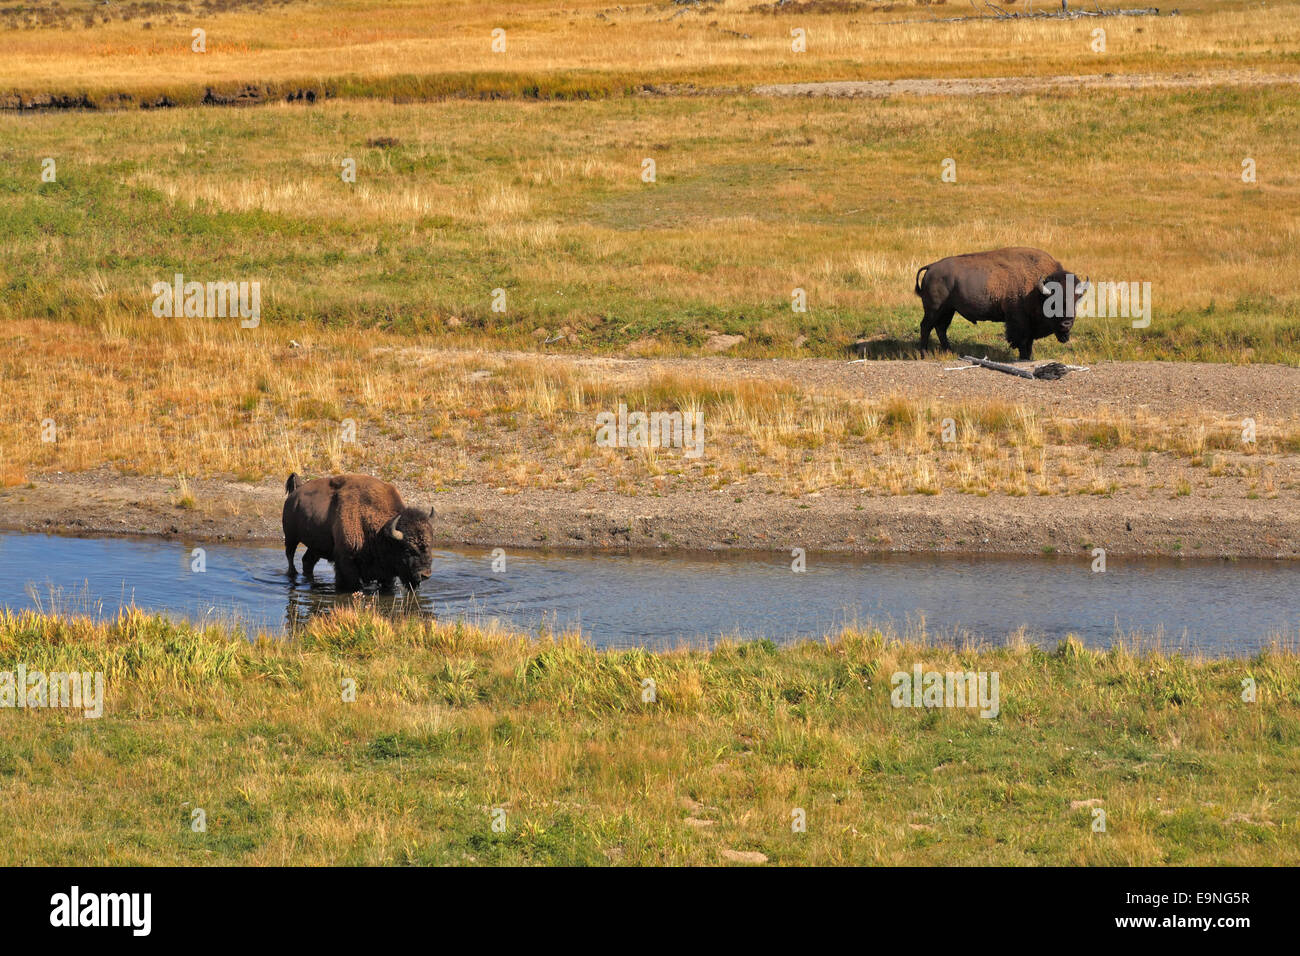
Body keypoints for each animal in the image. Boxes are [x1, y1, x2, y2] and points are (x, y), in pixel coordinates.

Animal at [282, 473, 435, 592]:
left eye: (429, 547)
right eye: (408, 550)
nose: (425, 575)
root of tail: (296, 491)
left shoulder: (387, 573)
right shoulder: (346, 562)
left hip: (316, 547)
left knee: (307, 561)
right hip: (291, 537)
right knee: (290, 556)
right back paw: (292, 575)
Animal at [914, 247, 1089, 360]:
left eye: (1076, 298)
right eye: (1054, 301)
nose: (1067, 323)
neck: (1038, 289)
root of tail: (931, 267)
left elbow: (1029, 342)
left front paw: (1030, 357)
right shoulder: (1018, 321)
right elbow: (1022, 341)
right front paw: (1024, 358)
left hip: (948, 310)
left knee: (940, 328)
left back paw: (949, 352)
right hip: (934, 309)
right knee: (926, 326)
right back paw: (924, 354)